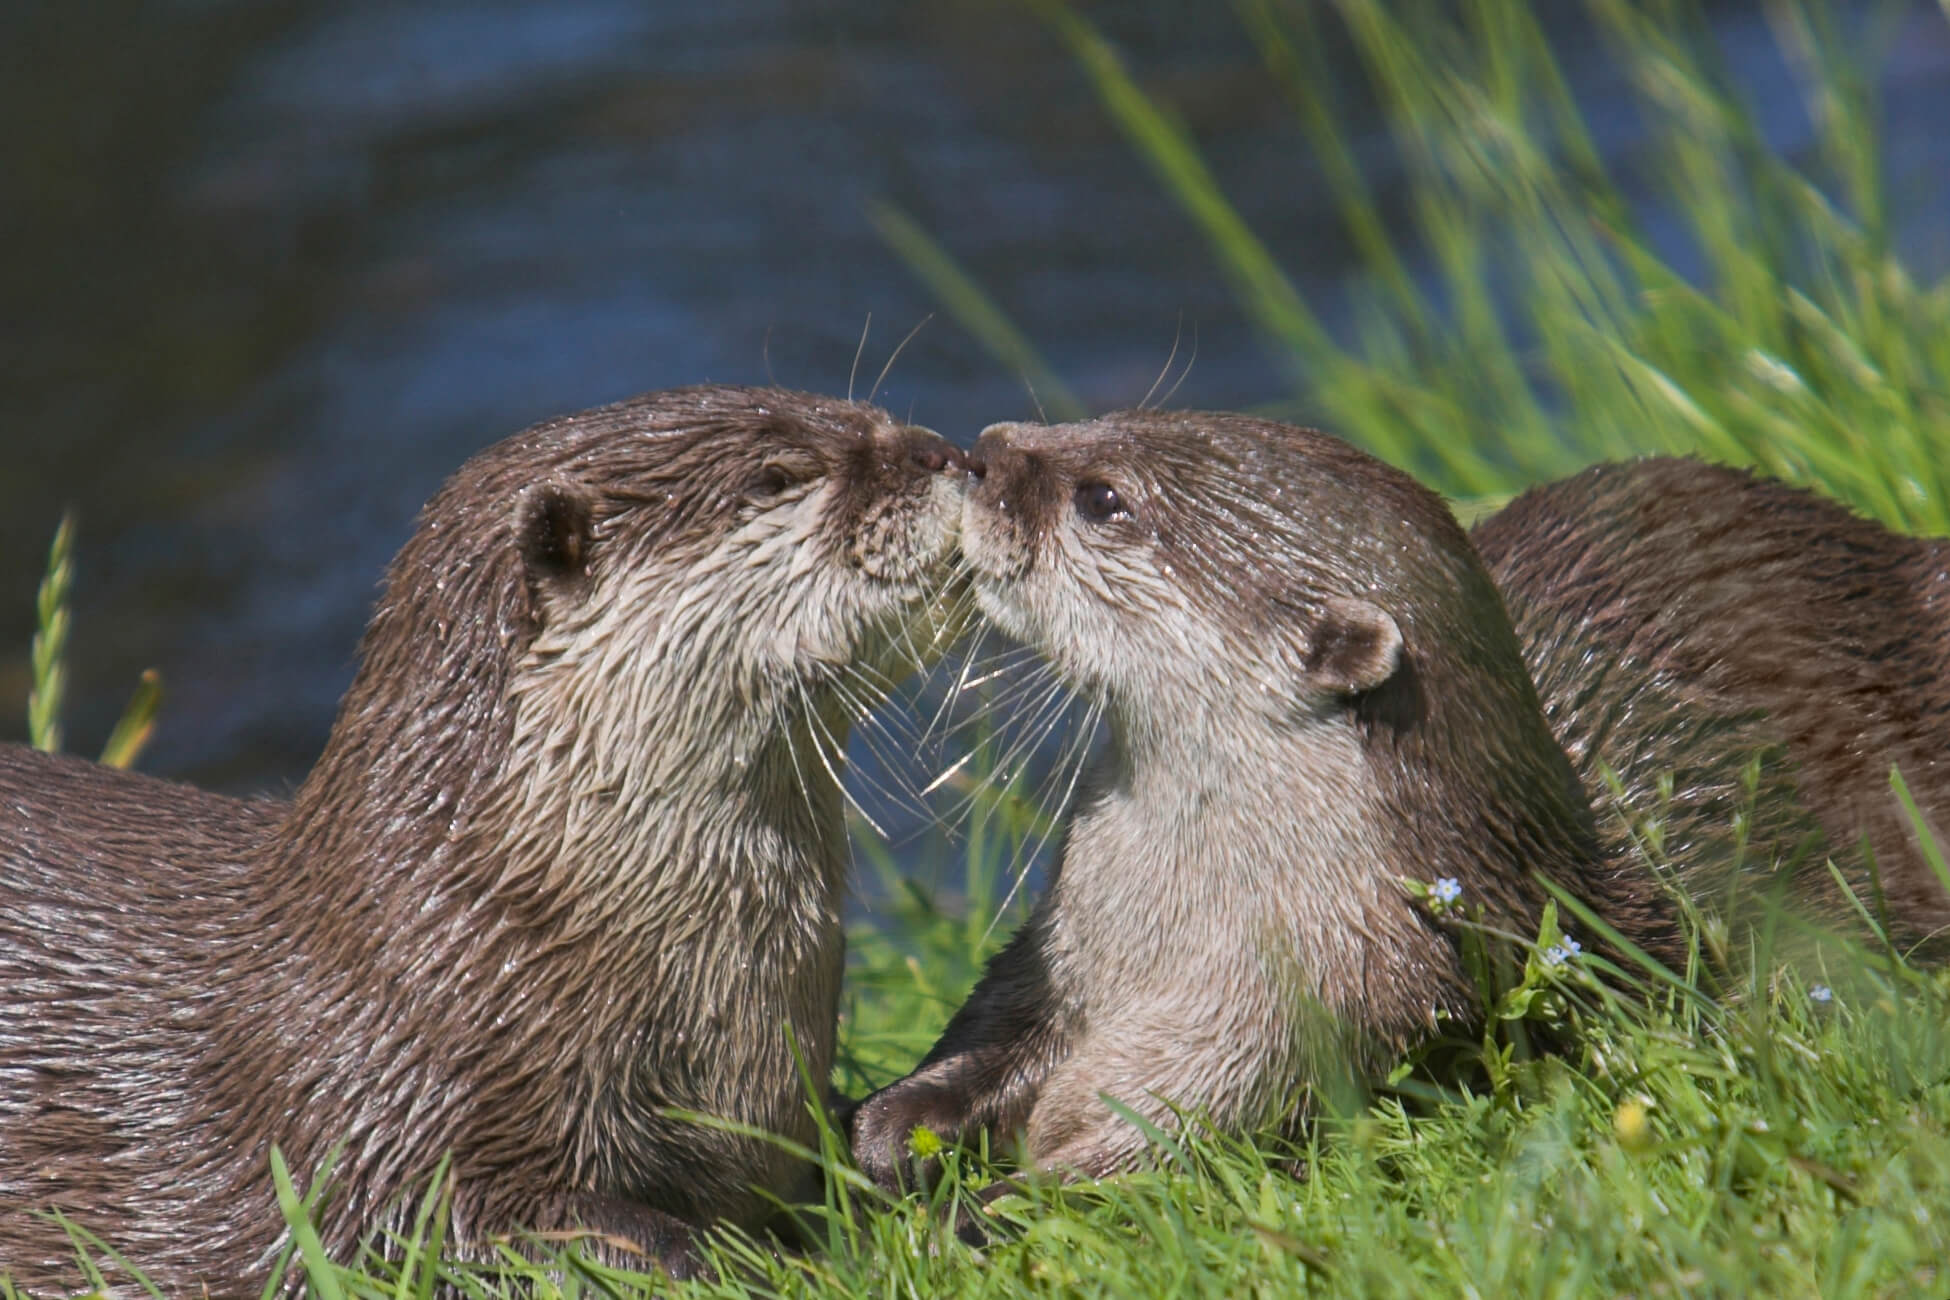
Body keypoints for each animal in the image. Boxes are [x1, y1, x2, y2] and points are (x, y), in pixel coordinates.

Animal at [0, 385, 967, 1293]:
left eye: (874, 415)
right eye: (780, 477)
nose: (945, 451)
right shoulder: (377, 1130)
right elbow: (473, 1235)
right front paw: (752, 1262)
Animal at [848, 409, 1950, 1189]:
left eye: (1104, 498)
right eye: (1109, 418)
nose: (982, 451)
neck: (1180, 938)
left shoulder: (1333, 1014)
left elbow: (1175, 1153)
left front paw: (991, 1207)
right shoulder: (1057, 949)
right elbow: (994, 1032)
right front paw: (892, 1124)